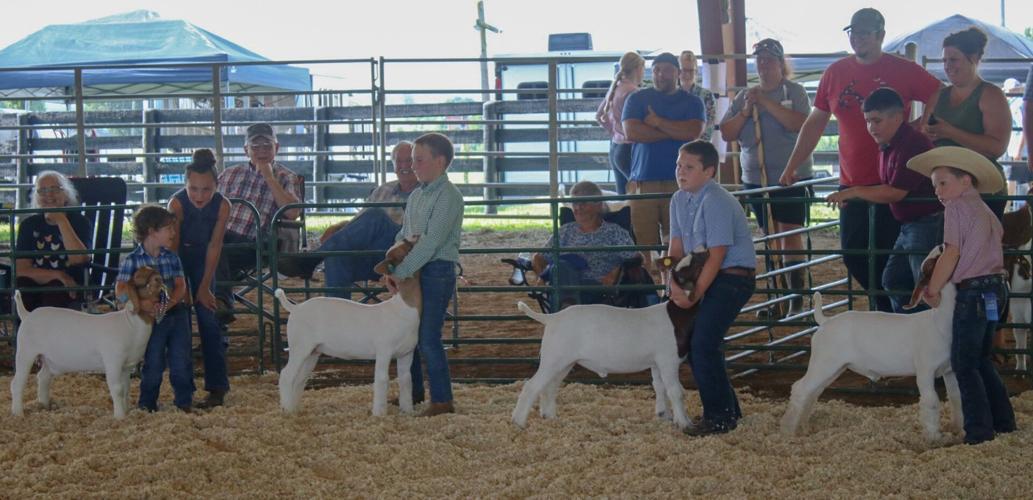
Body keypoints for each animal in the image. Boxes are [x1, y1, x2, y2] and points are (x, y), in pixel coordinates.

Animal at [10, 266, 166, 419]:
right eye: (141, 278)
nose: (160, 280)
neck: (131, 324)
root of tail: (27, 314)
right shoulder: (113, 361)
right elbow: (118, 388)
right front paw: (120, 416)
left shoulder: (127, 366)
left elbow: (126, 388)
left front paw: (126, 411)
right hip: (25, 352)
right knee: (17, 383)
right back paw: (18, 413)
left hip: (48, 359)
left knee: (43, 377)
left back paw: (44, 405)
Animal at [511, 250, 707, 430]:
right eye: (694, 264)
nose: (706, 252)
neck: (676, 316)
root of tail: (552, 318)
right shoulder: (668, 360)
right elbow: (675, 390)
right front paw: (684, 423)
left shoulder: (656, 362)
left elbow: (660, 387)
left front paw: (664, 415)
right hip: (553, 358)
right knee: (531, 386)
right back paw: (519, 422)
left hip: (564, 361)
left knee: (550, 386)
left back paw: (550, 416)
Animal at [780, 246, 963, 441]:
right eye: (931, 263)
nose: (942, 245)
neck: (939, 322)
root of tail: (825, 321)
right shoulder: (925, 370)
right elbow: (931, 401)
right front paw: (934, 437)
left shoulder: (950, 370)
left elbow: (956, 397)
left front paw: (959, 429)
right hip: (824, 362)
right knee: (801, 389)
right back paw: (788, 430)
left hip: (833, 367)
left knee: (813, 392)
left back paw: (803, 427)